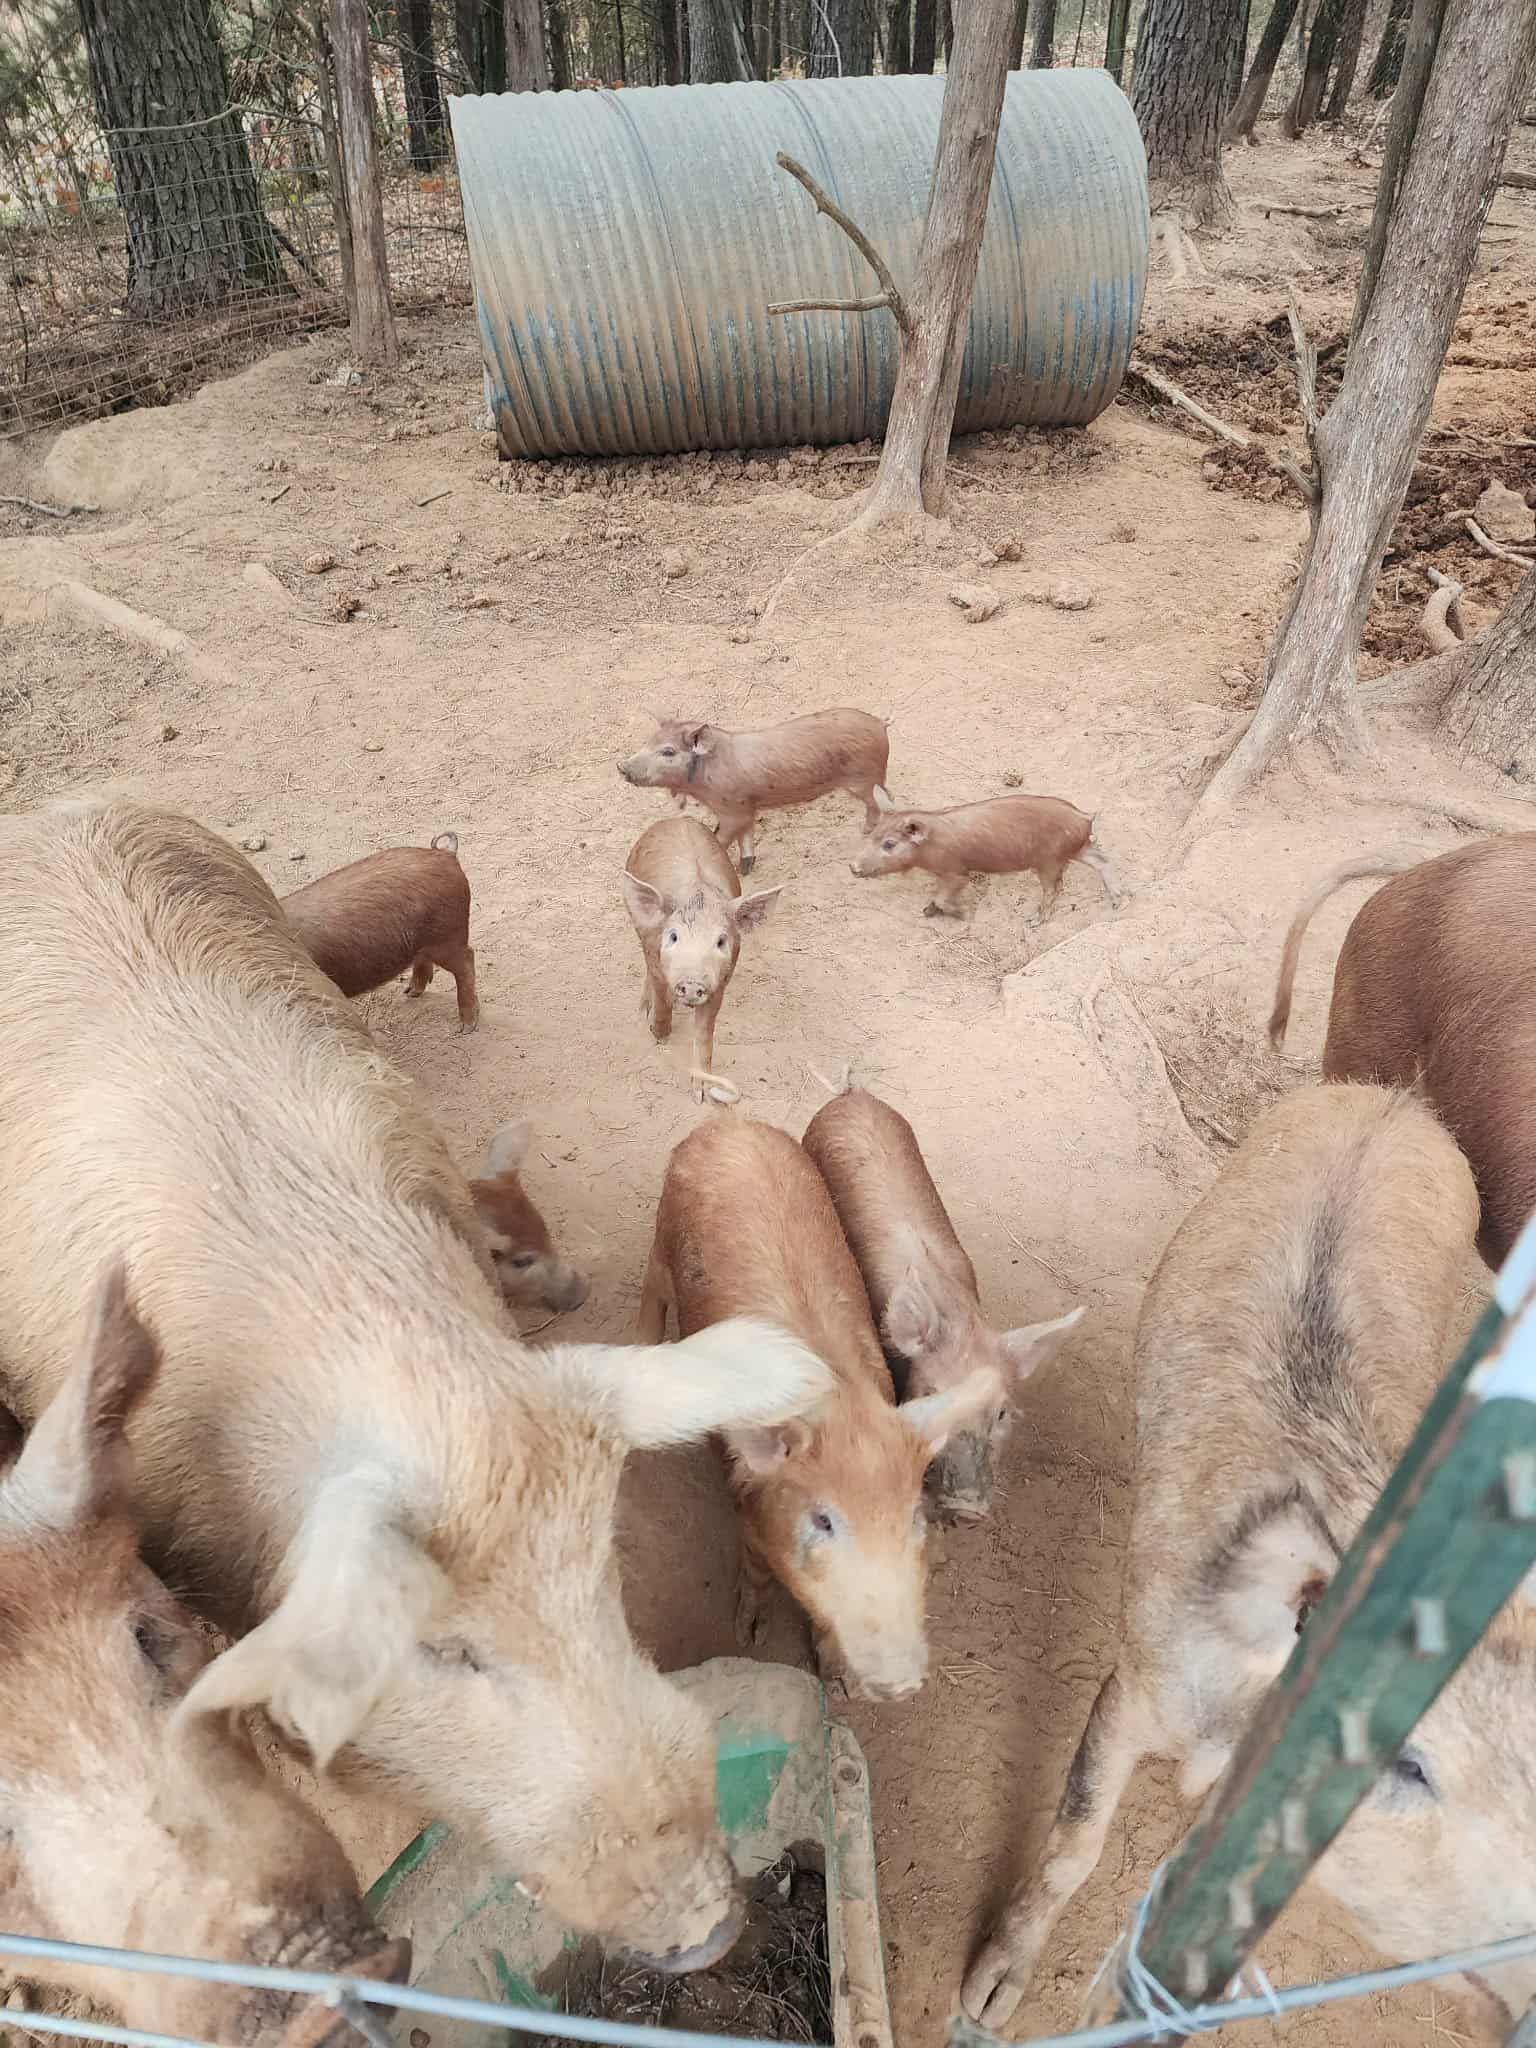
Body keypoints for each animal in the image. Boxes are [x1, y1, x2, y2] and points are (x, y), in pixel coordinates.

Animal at [618, 709, 890, 873]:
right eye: (648, 742)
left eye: (668, 751)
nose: (621, 766)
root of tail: (880, 723)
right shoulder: (746, 807)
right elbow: (746, 834)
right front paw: (745, 868)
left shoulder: (732, 809)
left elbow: (721, 837)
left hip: (862, 780)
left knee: (876, 802)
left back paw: (865, 830)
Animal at [621, 817, 781, 1102]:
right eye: (674, 936)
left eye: (720, 941)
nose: (692, 983)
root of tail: (677, 819)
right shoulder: (654, 956)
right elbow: (661, 1000)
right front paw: (656, 1033)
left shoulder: (720, 982)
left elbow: (705, 1033)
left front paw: (701, 1096)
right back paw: (642, 1011)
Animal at [639, 1116, 1004, 1700]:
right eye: (823, 1520)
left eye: (911, 1518)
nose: (900, 1684)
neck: (842, 1412)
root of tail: (731, 1122)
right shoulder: (746, 1511)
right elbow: (756, 1571)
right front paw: (749, 1634)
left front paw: (836, 1681)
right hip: (662, 1229)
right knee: (652, 1287)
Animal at [849, 792, 1122, 921]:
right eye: (872, 835)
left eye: (889, 844)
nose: (853, 867)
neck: (929, 846)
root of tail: (1084, 817)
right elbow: (937, 897)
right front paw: (926, 911)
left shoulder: (956, 872)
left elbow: (943, 897)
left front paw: (964, 915)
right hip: (1076, 849)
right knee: (1103, 861)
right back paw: (1118, 901)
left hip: (1049, 860)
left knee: (1054, 888)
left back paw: (1033, 921)